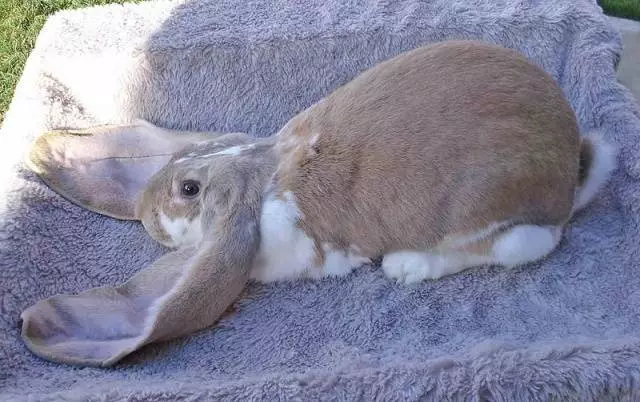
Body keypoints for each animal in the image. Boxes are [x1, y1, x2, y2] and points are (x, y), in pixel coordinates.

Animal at [21, 39, 616, 366]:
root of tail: (568, 167)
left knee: (524, 247)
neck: (259, 174)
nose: (146, 212)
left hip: (500, 220)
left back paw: (408, 266)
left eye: (189, 190)